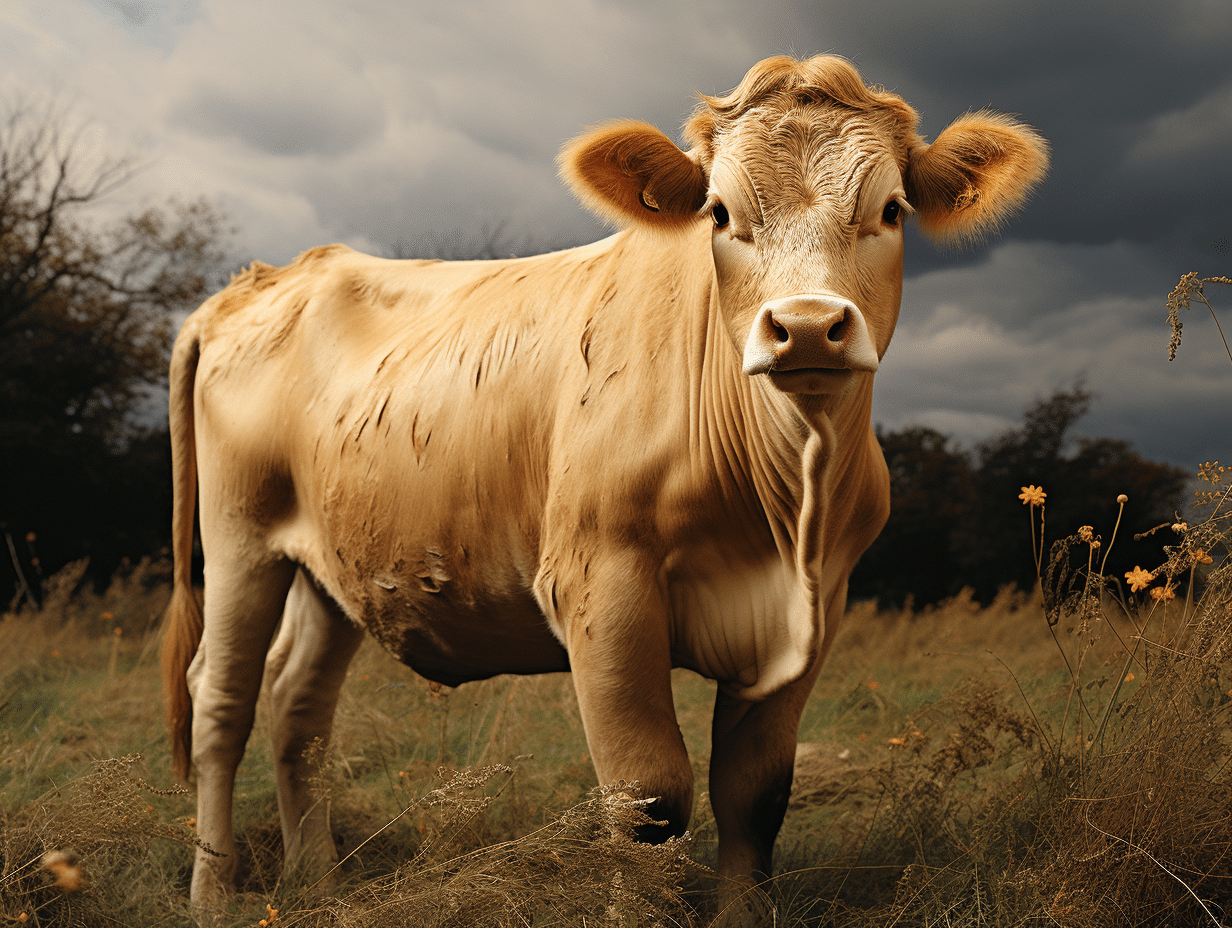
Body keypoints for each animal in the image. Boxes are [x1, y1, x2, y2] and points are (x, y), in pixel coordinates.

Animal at [161, 54, 1047, 914]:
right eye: (718, 214)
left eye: (892, 210)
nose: (804, 327)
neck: (781, 506)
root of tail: (266, 278)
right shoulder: (602, 584)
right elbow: (648, 800)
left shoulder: (818, 605)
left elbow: (755, 796)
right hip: (239, 540)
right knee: (222, 700)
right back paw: (214, 891)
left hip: (335, 565)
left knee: (298, 708)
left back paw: (318, 881)